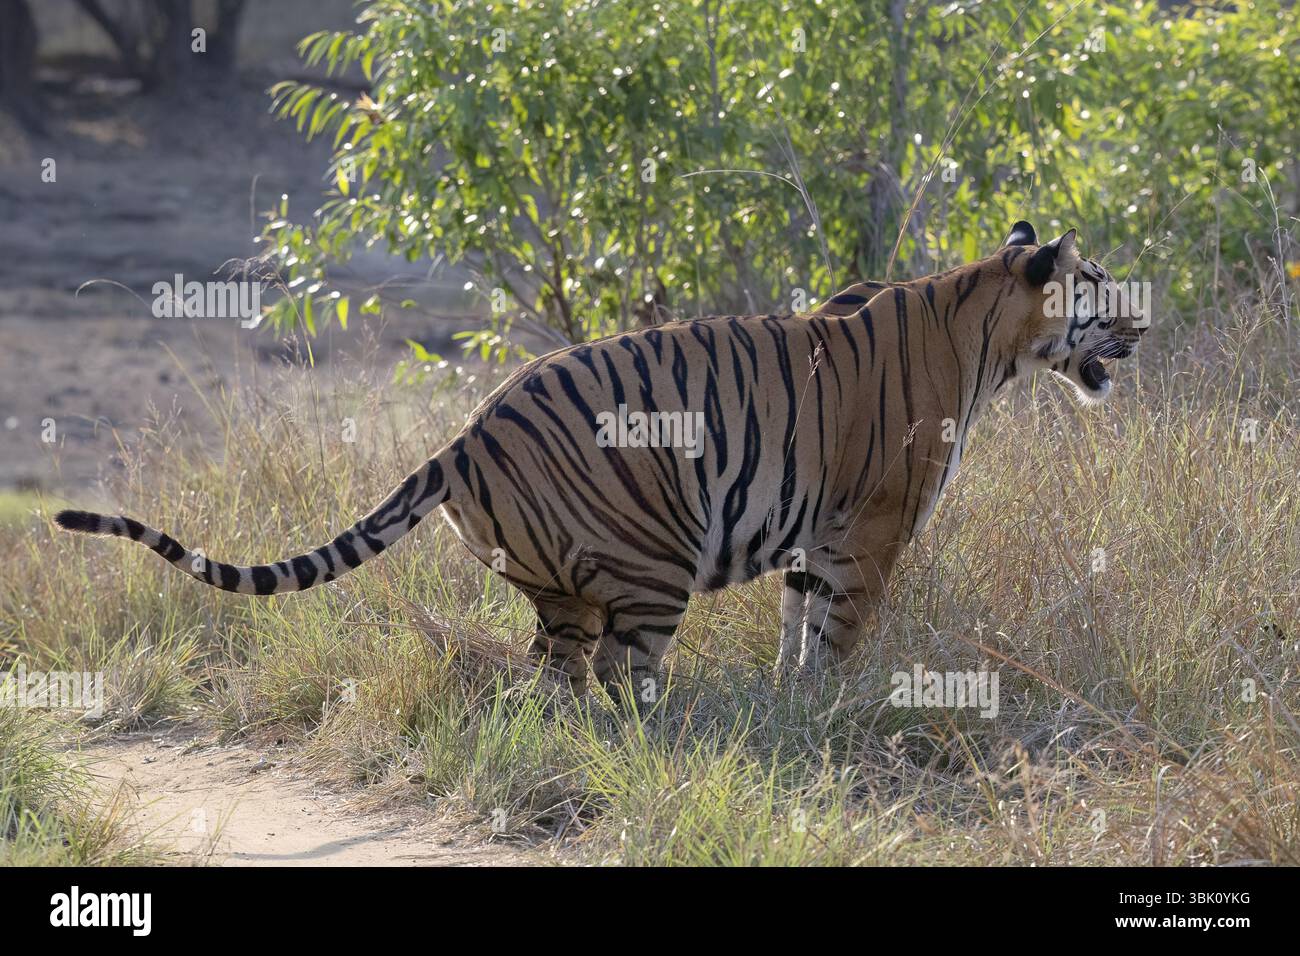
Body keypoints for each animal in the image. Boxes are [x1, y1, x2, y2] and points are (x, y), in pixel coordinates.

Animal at [56, 220, 1146, 691]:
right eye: (1100, 285)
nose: (1143, 323)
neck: (991, 333)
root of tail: (462, 435)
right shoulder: (869, 531)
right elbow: (839, 635)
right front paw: (831, 712)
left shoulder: (814, 536)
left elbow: (798, 628)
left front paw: (794, 707)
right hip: (654, 562)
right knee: (620, 686)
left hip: (563, 591)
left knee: (553, 682)